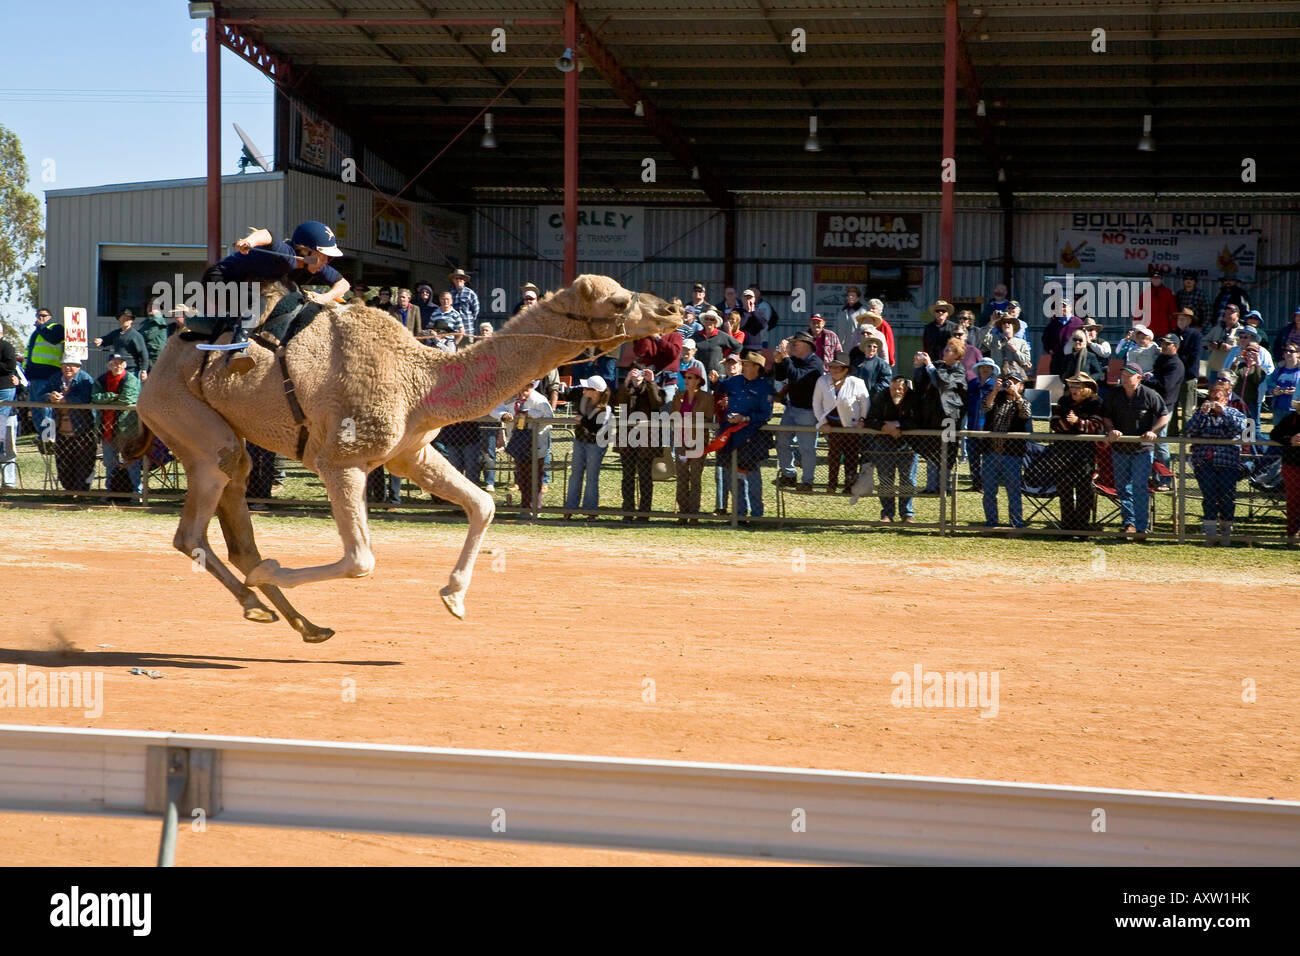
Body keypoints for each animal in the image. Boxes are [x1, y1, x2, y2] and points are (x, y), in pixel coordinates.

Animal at [127, 274, 682, 642]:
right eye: (619, 299)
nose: (674, 309)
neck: (422, 379)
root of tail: (153, 373)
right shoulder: (342, 460)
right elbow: (361, 559)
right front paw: (269, 575)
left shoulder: (409, 454)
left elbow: (483, 504)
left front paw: (454, 598)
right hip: (188, 420)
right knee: (192, 531)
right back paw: (257, 599)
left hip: (226, 438)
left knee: (234, 519)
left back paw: (303, 622)